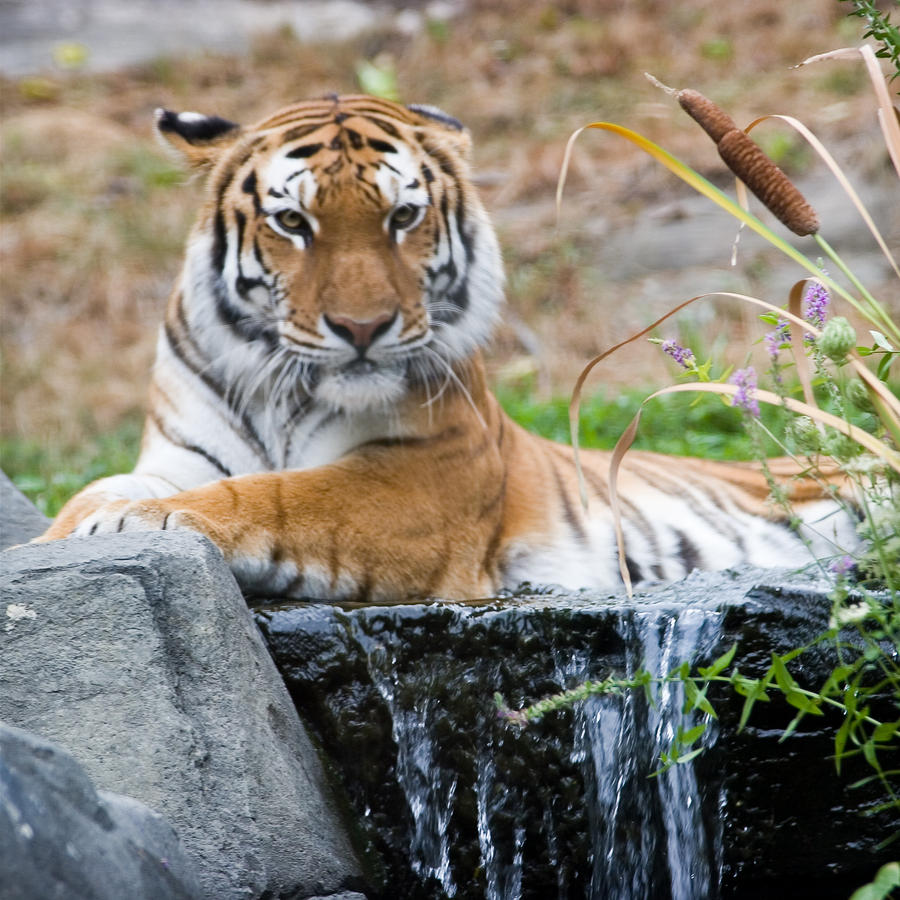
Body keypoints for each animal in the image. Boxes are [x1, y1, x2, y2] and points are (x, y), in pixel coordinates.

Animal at [37, 94, 857, 601]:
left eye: (402, 217)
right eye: (293, 223)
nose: (362, 328)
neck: (280, 395)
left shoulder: (430, 477)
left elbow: (281, 493)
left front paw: (151, 522)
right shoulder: (179, 455)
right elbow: (95, 489)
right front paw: (76, 532)